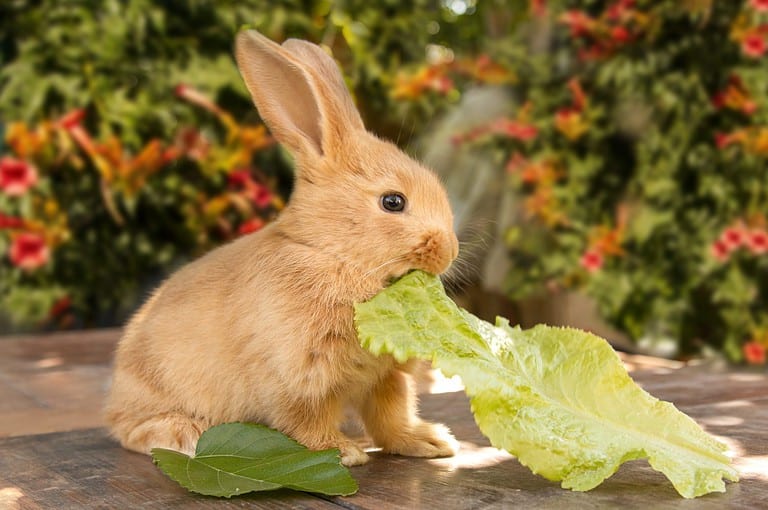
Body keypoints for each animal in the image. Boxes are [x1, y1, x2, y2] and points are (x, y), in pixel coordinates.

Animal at [104, 29, 460, 467]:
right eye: (393, 202)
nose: (449, 251)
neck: (330, 253)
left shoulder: (384, 374)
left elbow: (392, 415)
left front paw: (430, 442)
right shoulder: (298, 377)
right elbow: (307, 421)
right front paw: (344, 452)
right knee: (131, 431)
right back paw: (184, 434)